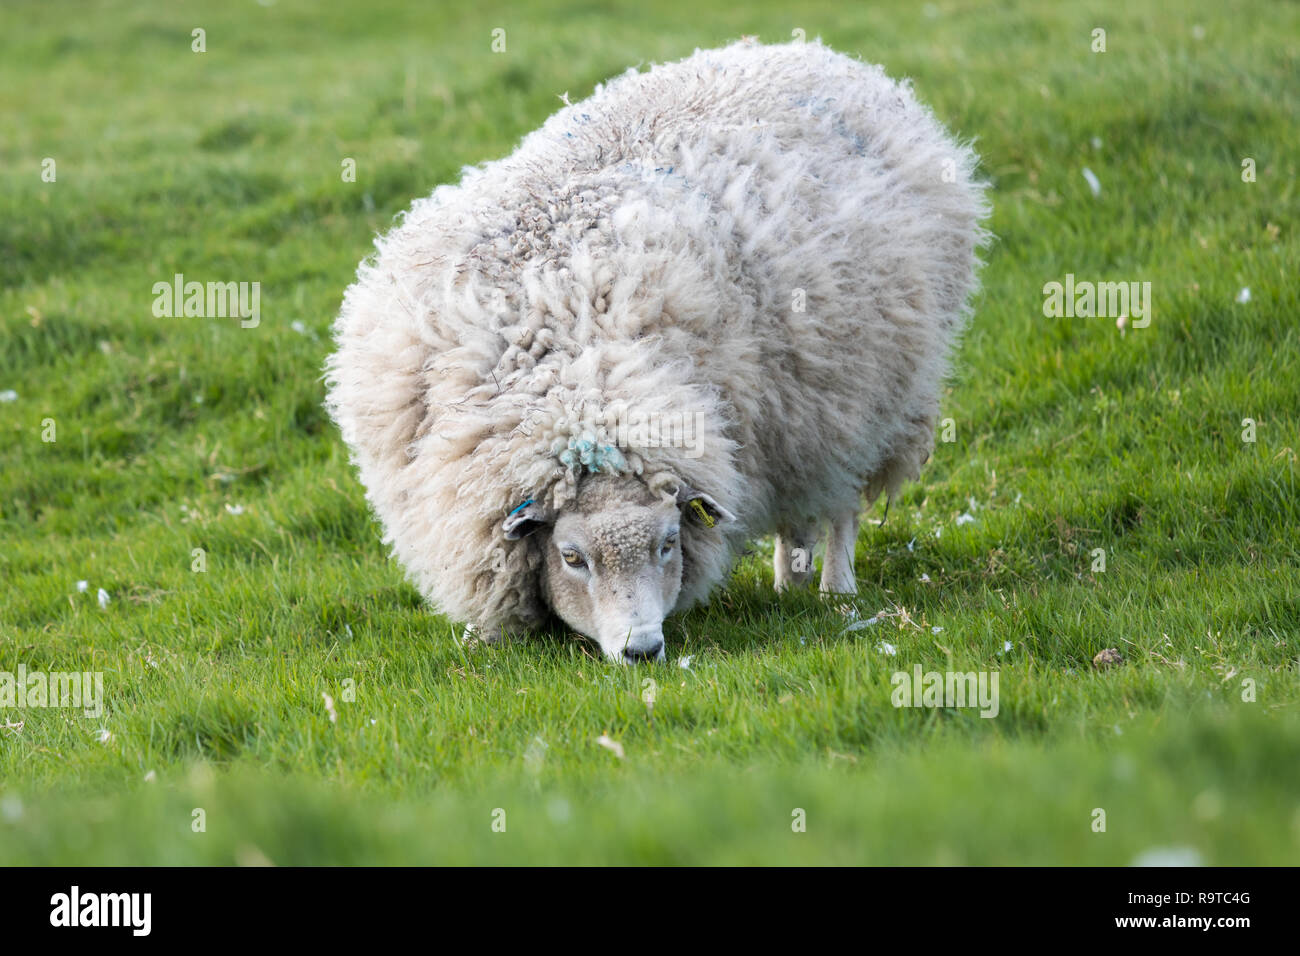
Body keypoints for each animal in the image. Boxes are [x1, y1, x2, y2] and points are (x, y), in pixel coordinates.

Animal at [325, 38, 989, 663]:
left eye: (669, 543)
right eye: (571, 556)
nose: (642, 650)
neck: (574, 370)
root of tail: (813, 52)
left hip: (866, 395)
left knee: (841, 501)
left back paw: (835, 587)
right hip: (798, 414)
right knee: (800, 507)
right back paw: (790, 584)